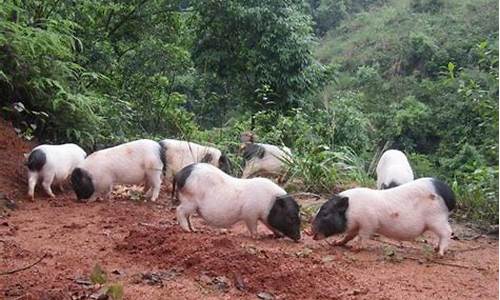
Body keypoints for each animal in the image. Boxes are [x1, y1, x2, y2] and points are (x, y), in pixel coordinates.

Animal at [172, 163, 300, 240]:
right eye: (291, 218)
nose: (299, 238)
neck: (270, 202)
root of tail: (179, 174)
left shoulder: (265, 216)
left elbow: (270, 225)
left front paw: (278, 235)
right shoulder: (250, 213)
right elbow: (253, 226)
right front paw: (257, 237)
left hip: (190, 203)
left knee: (188, 215)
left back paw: (194, 230)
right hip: (190, 201)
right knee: (179, 210)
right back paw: (187, 230)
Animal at [312, 177, 458, 256]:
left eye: (325, 214)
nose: (309, 230)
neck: (351, 210)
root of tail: (449, 194)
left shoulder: (369, 223)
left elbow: (362, 236)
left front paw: (355, 249)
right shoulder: (355, 225)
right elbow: (349, 236)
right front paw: (336, 243)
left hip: (437, 219)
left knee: (447, 232)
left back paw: (439, 253)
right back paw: (435, 249)